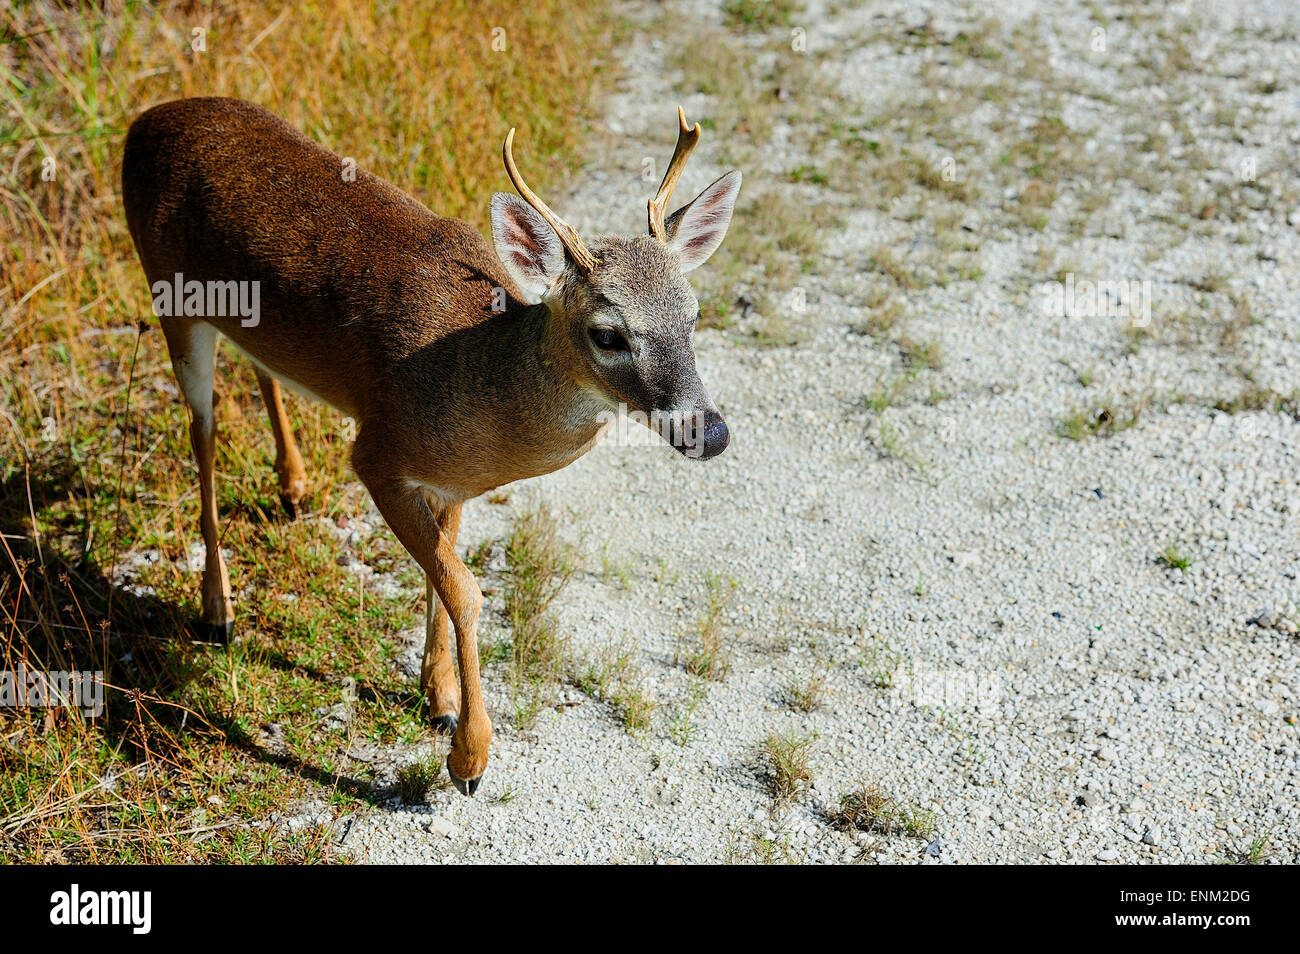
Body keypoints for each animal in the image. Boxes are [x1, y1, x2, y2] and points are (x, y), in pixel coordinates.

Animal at [121, 97, 740, 795]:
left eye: (693, 315)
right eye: (607, 334)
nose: (710, 432)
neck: (479, 384)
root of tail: (144, 121)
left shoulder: (450, 482)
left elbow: (439, 574)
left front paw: (438, 695)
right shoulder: (377, 454)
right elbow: (464, 589)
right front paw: (469, 757)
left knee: (257, 368)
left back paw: (293, 486)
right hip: (169, 295)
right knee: (201, 431)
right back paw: (217, 609)